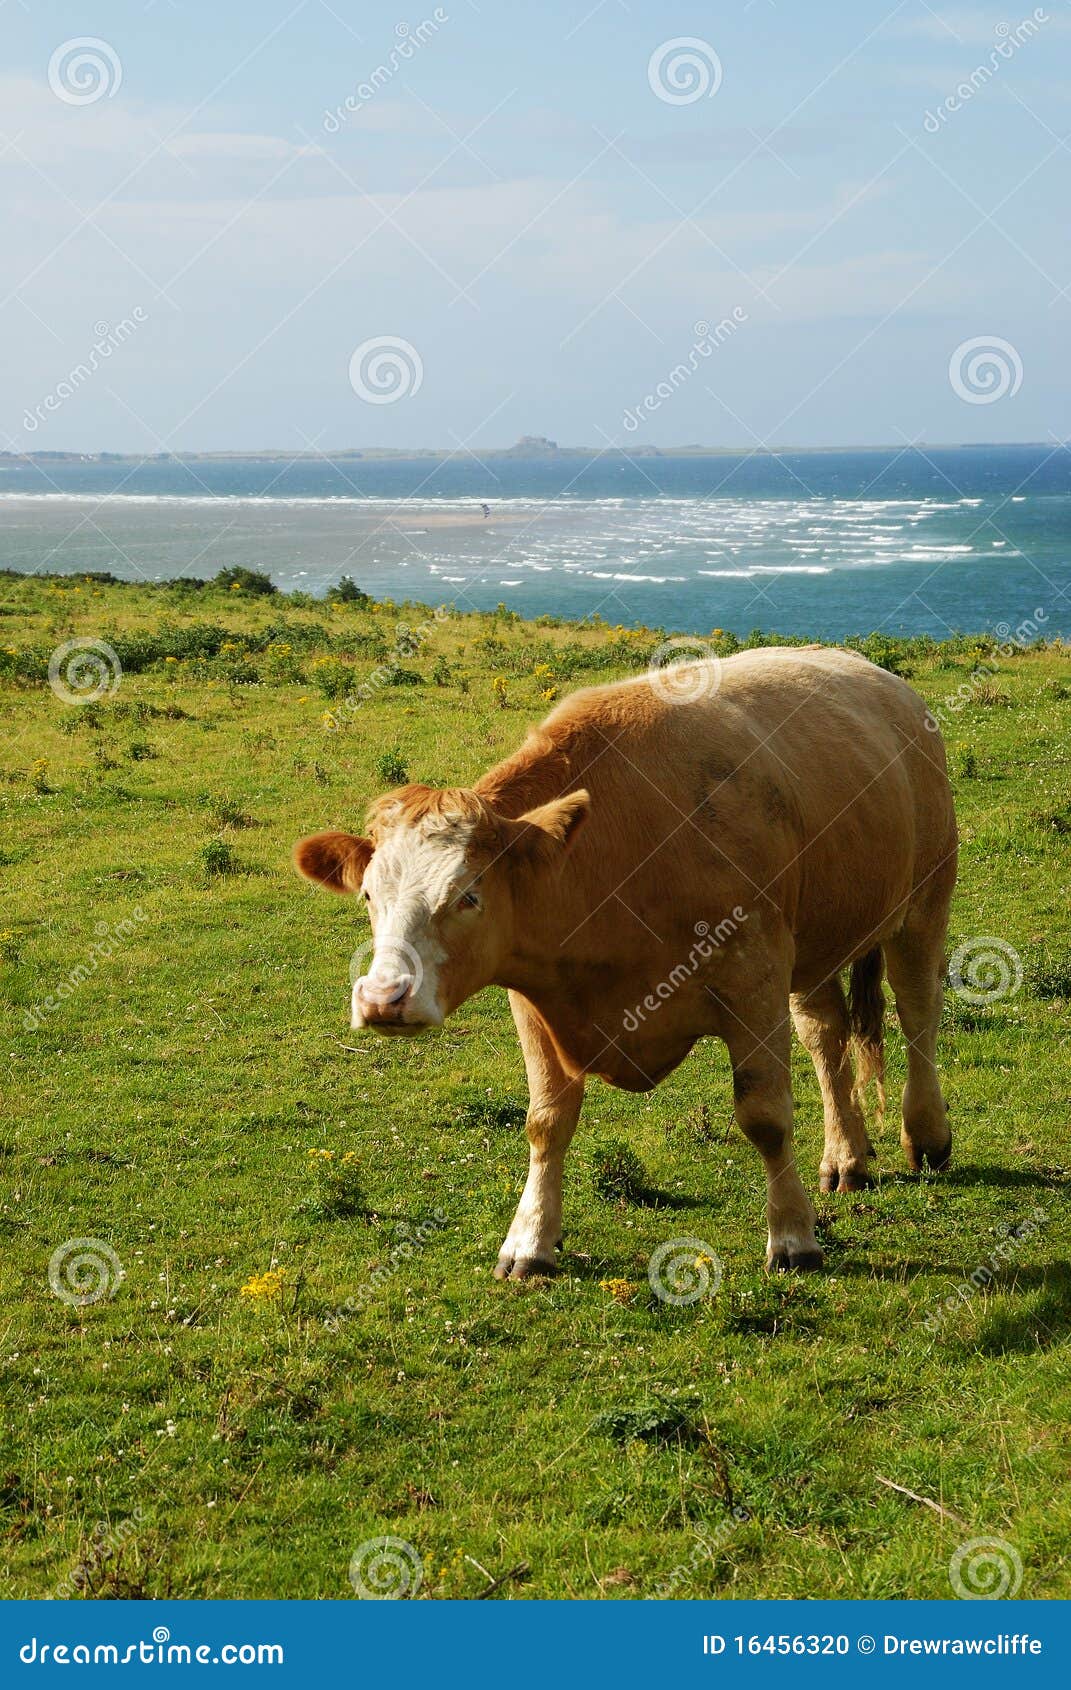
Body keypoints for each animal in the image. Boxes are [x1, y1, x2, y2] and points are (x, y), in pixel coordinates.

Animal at [294, 645, 957, 1279]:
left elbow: (765, 1115)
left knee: (918, 1011)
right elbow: (546, 1121)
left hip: (924, 902)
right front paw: (529, 1242)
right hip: (815, 944)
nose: (382, 998)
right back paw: (845, 1156)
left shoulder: (755, 978)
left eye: (469, 896)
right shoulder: (534, 1000)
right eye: (369, 894)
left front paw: (793, 1238)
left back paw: (927, 1137)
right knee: (826, 1035)